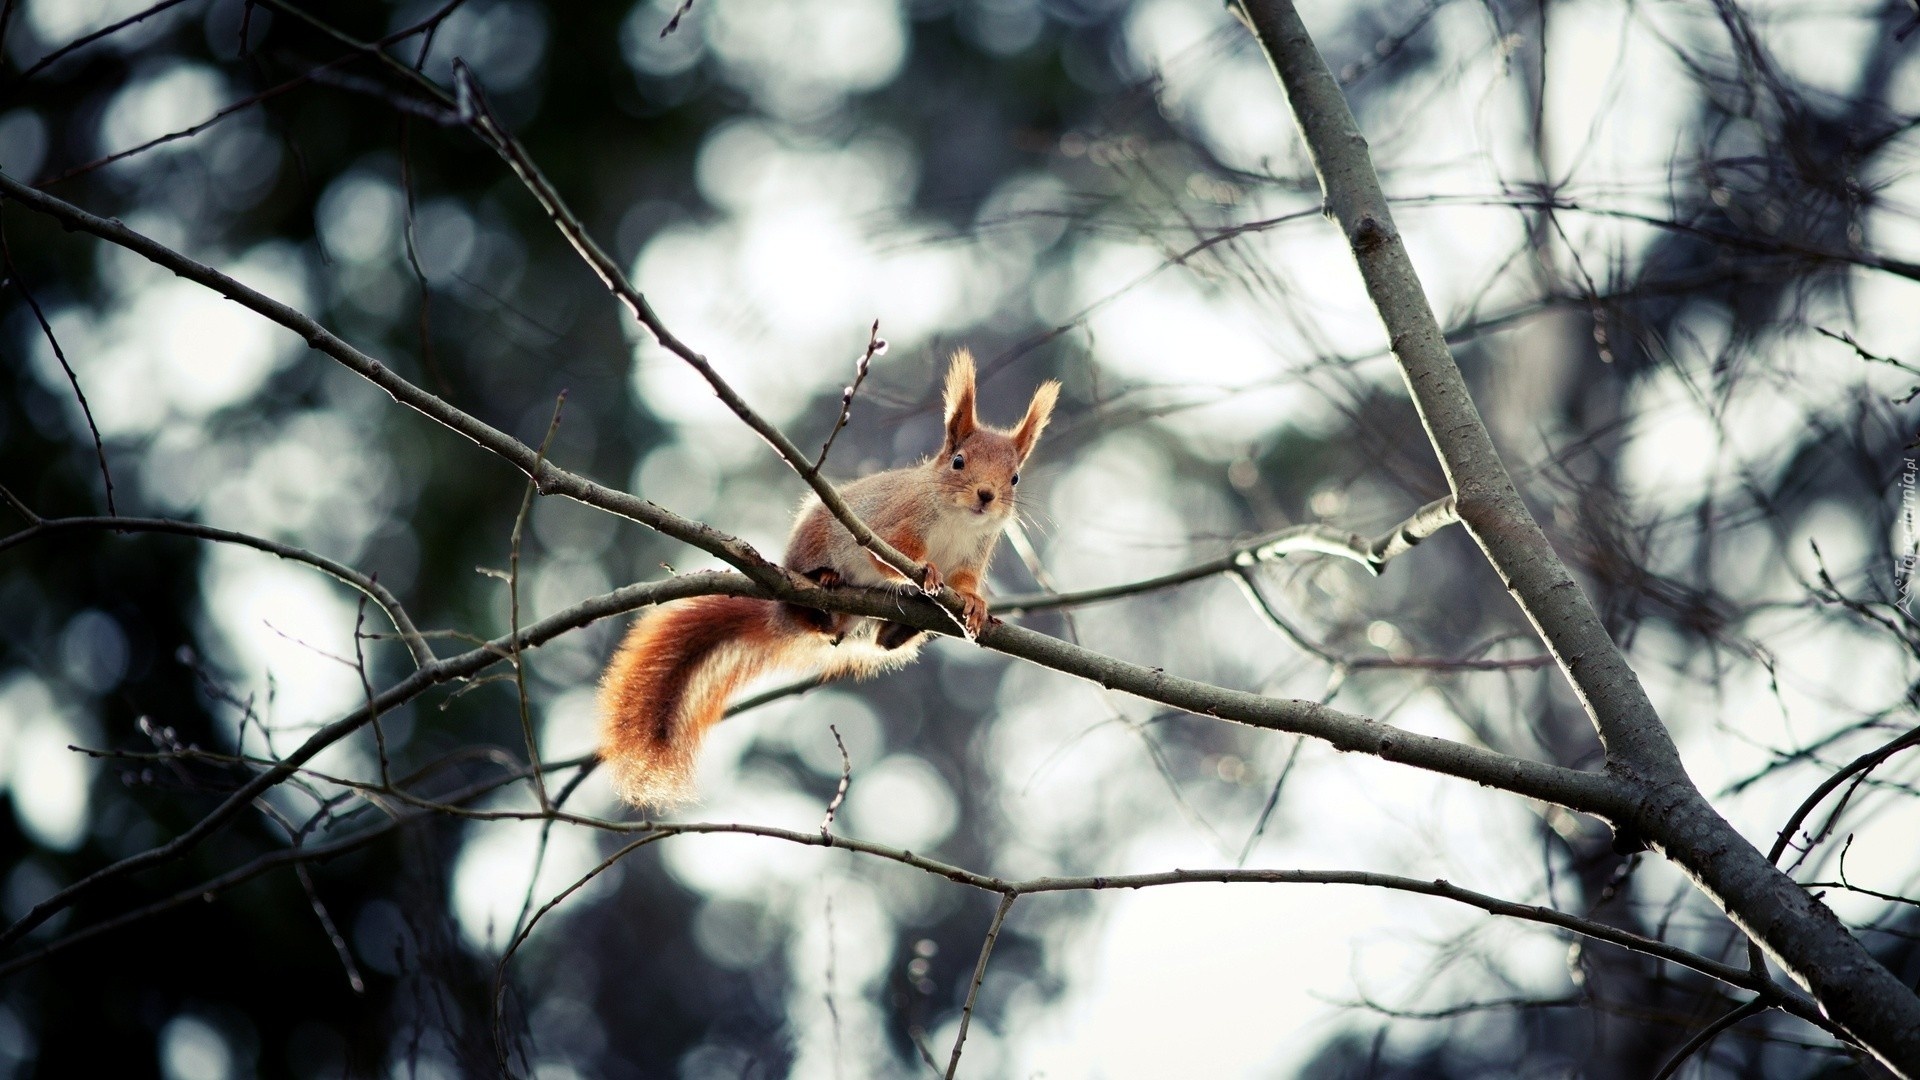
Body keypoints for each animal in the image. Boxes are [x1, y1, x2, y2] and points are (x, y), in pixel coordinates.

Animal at [595, 349, 1059, 803]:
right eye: (959, 462)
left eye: (1015, 477)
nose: (986, 495)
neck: (958, 519)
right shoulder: (891, 526)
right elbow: (890, 558)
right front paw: (924, 571)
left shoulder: (971, 557)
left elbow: (964, 584)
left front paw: (976, 606)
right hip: (811, 550)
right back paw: (825, 583)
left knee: (877, 641)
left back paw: (895, 630)